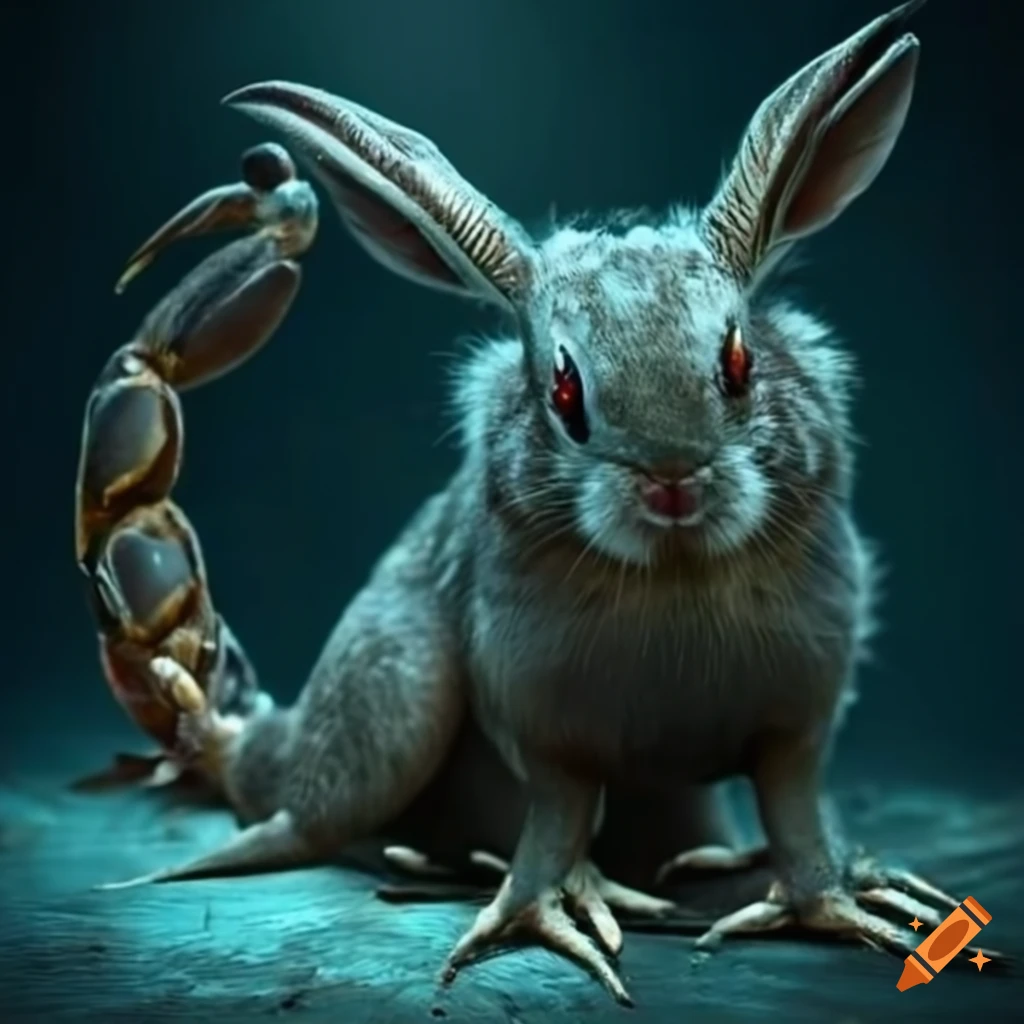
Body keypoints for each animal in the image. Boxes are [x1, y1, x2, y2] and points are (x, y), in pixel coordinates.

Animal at [98, 0, 968, 1006]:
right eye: (564, 390)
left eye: (738, 361)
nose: (673, 478)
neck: (676, 572)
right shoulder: (544, 727)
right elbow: (553, 828)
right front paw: (540, 924)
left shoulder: (799, 719)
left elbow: (794, 820)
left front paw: (846, 908)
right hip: (396, 698)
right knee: (302, 814)